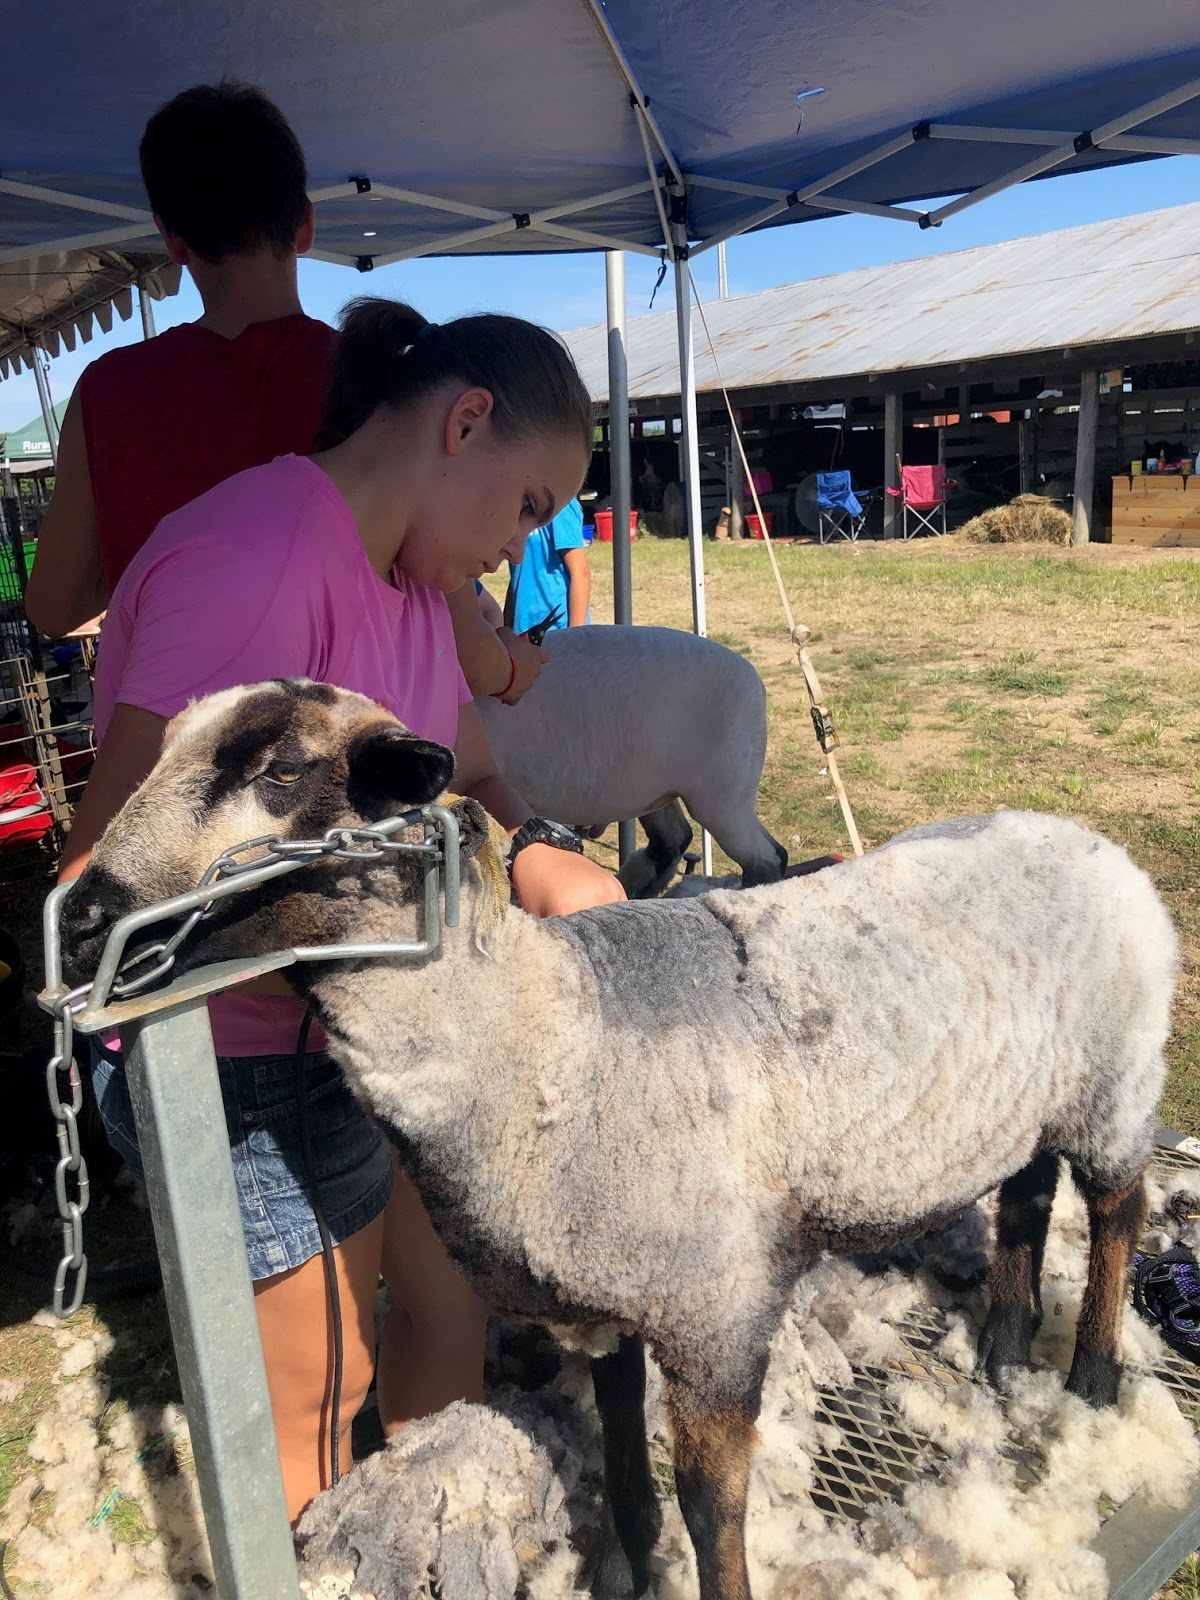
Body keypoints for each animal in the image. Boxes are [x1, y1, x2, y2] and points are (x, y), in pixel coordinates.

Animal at [63, 680, 1180, 1600]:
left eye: (281, 772)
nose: (79, 916)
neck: (543, 1036)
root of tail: (1089, 838)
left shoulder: (718, 1308)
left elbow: (708, 1505)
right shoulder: (601, 1305)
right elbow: (620, 1446)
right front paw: (626, 1569)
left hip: (1115, 1079)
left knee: (1119, 1205)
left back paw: (1090, 1369)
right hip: (1030, 1091)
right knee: (1028, 1189)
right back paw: (1004, 1337)